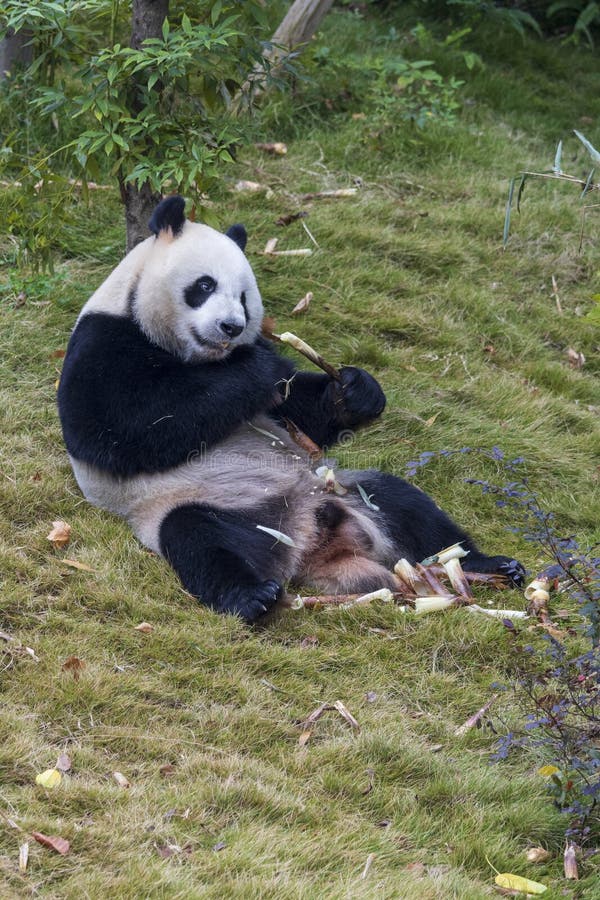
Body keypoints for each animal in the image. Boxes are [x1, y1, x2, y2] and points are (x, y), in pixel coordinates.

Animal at [57, 195, 524, 623]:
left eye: (244, 297)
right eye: (205, 285)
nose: (232, 326)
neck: (199, 357)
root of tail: (312, 539)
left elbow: (304, 411)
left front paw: (356, 391)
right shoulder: (103, 343)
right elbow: (124, 432)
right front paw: (260, 369)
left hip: (345, 489)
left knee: (409, 509)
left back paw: (490, 564)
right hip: (210, 505)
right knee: (200, 538)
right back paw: (252, 597)